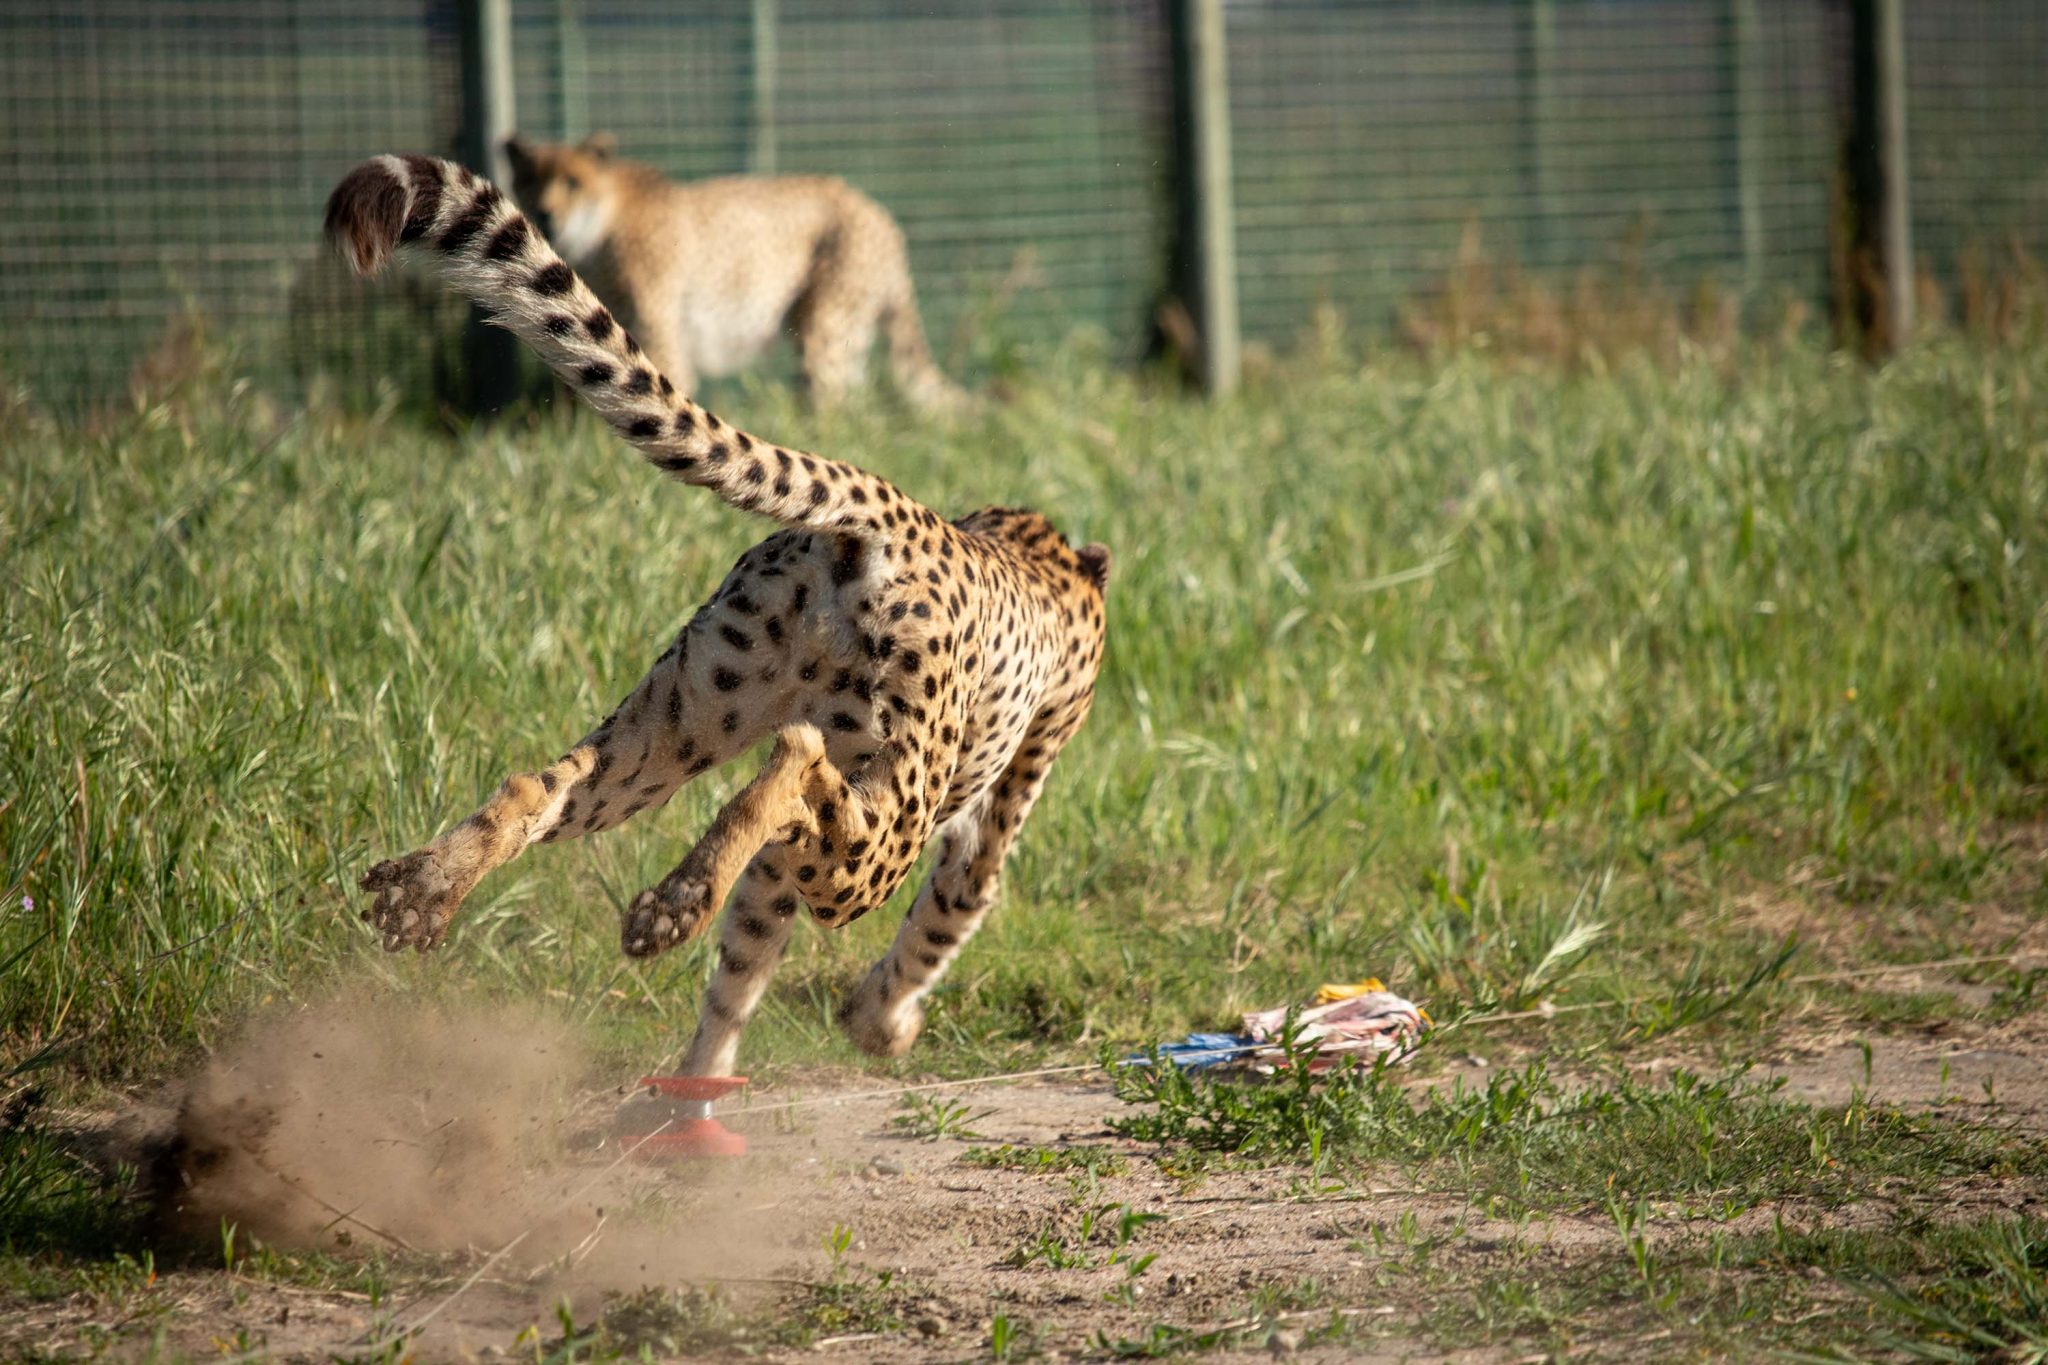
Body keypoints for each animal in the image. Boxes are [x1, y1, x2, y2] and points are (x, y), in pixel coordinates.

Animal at [504, 132, 965, 411]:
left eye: (572, 182)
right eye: (529, 180)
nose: (545, 212)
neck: (598, 227)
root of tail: (878, 212)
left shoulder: (659, 329)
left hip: (827, 324)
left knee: (829, 396)